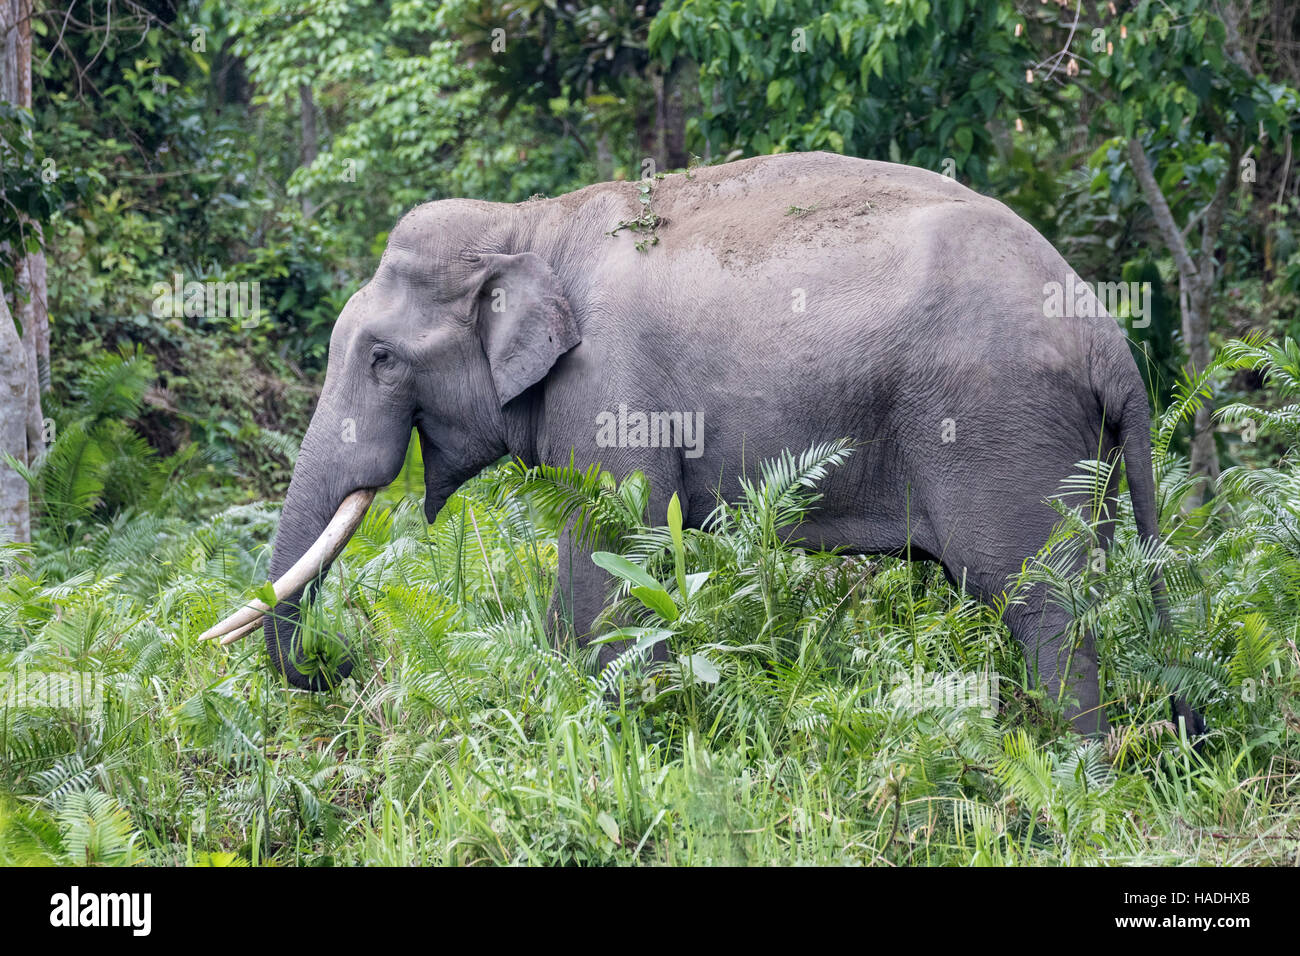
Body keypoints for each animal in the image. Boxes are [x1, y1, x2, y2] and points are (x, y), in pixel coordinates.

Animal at [202, 150, 1197, 738]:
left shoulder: (609, 390)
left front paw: (609, 727)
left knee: (1039, 603)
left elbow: (613, 552)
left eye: (379, 359)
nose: (342, 661)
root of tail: (1110, 337)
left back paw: (1072, 776)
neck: (527, 221)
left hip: (999, 421)